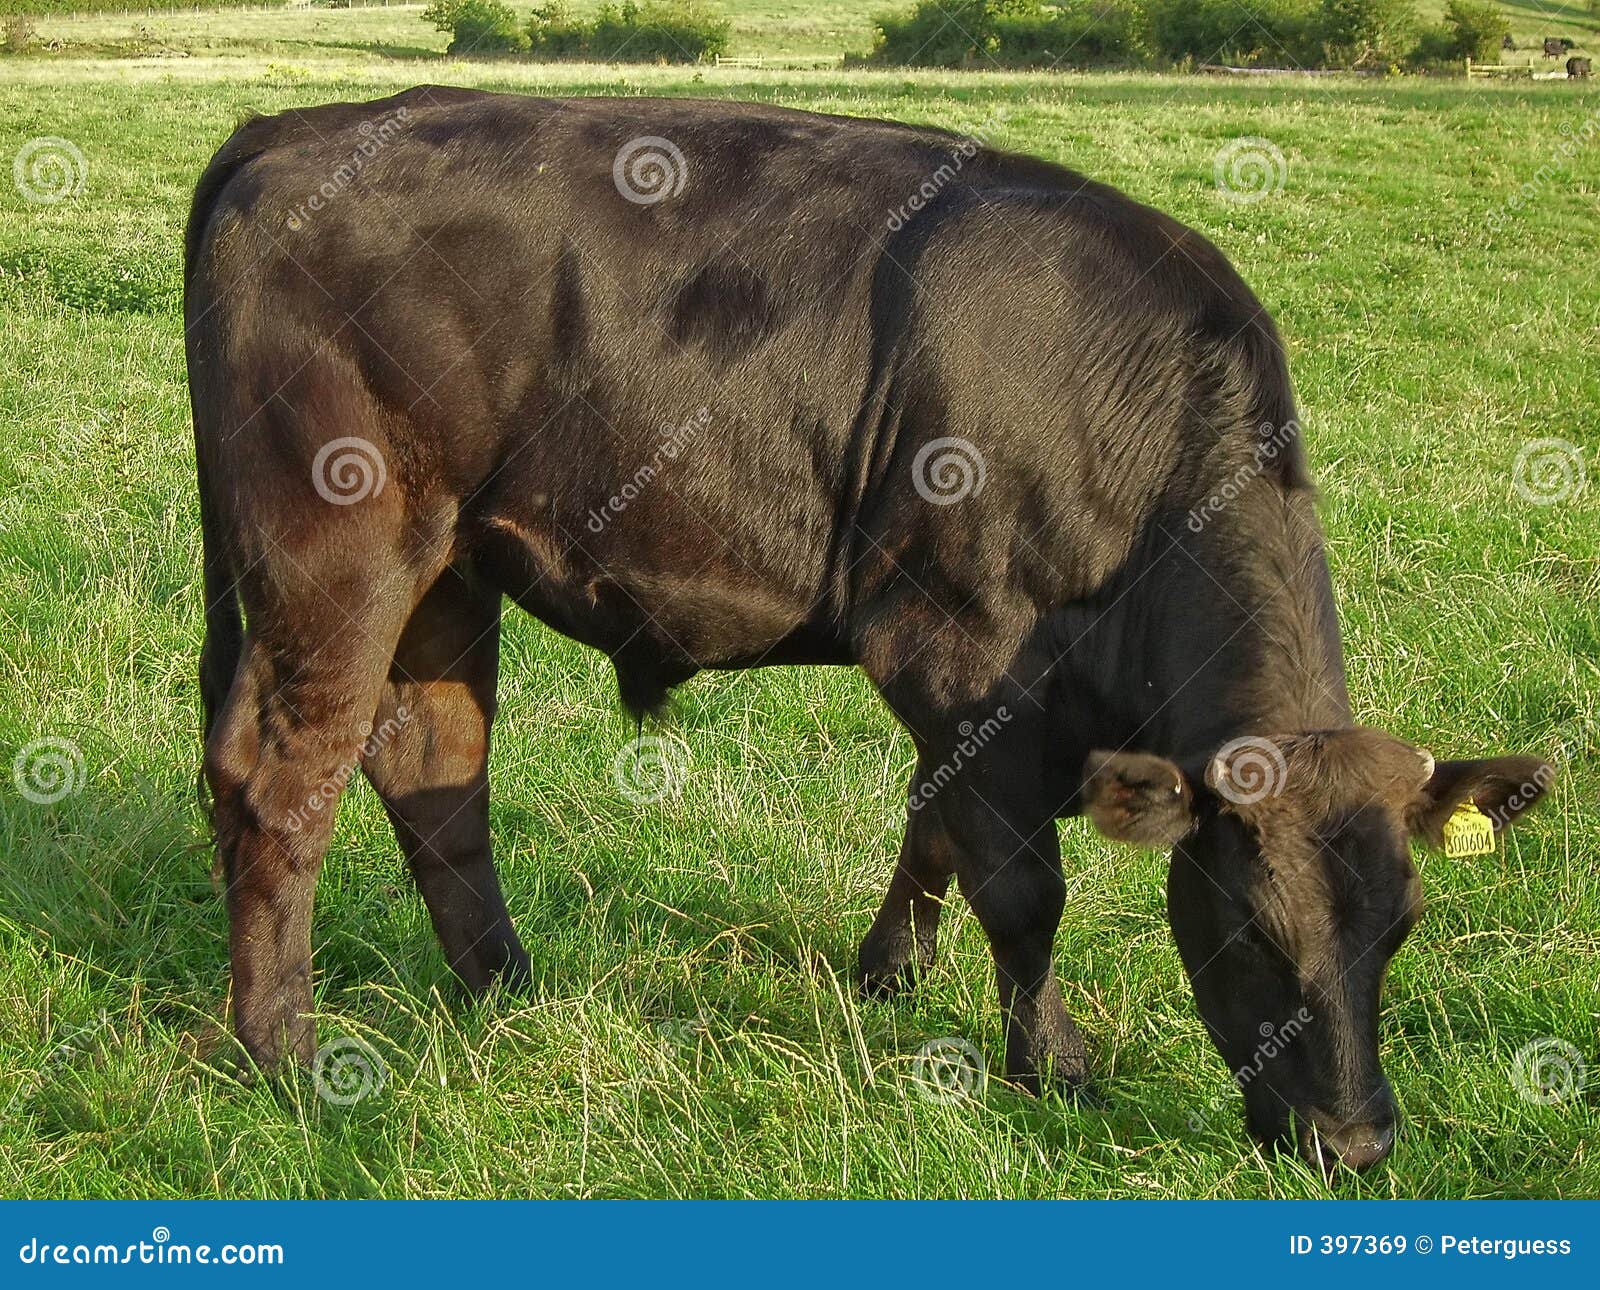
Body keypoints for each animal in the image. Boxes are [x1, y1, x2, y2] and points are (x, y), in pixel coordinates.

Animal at [186, 89, 1552, 1174]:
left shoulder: (980, 687)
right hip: (339, 545)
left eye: (1400, 928)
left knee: (433, 769)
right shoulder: (952, 641)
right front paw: (1050, 1065)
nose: (1355, 1144)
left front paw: (888, 973)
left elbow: (932, 823)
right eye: (1253, 928)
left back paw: (504, 988)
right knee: (281, 782)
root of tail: (294, 128)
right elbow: (1023, 885)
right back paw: (284, 1057)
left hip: (451, 568)